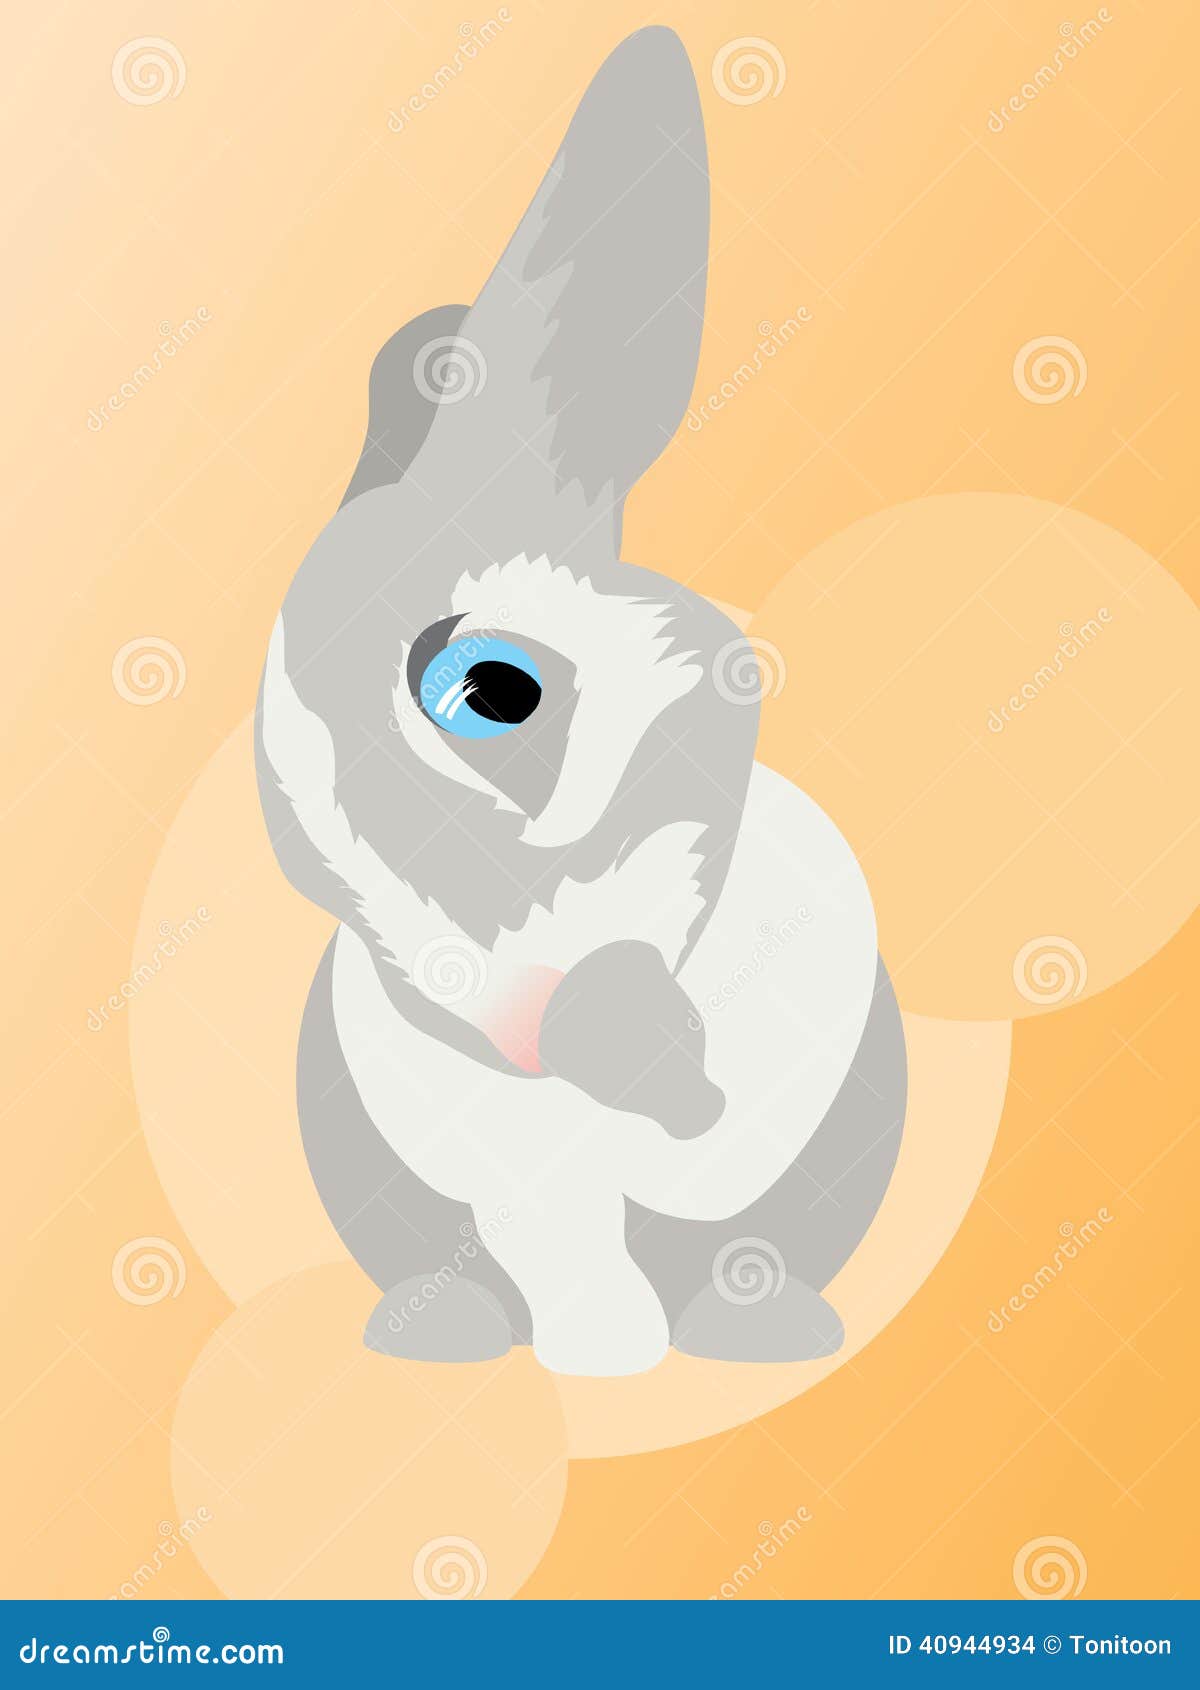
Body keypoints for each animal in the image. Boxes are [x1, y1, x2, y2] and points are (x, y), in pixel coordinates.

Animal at [256, 27, 907, 1377]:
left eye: (492, 692)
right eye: (295, 854)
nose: (522, 1032)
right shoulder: (514, 1177)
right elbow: (557, 1246)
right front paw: (597, 1352)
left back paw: (764, 1333)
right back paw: (439, 1332)